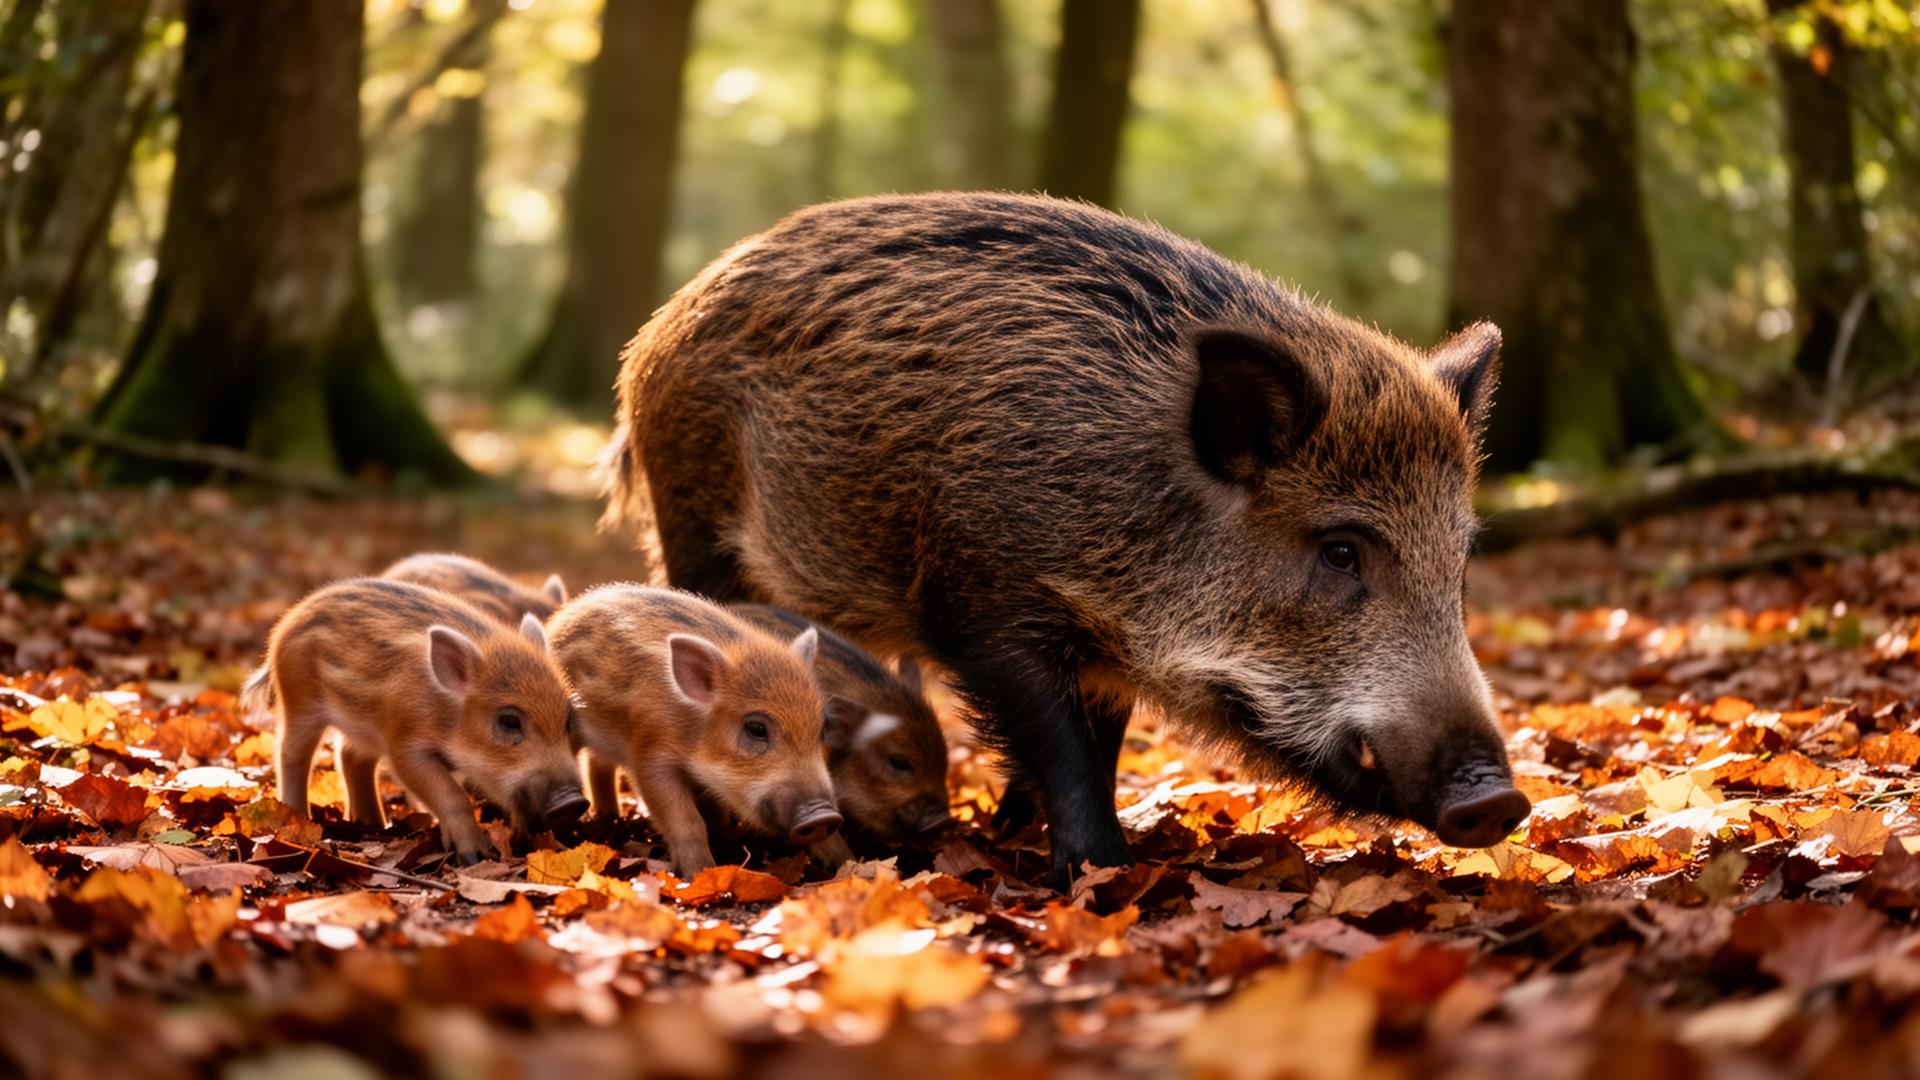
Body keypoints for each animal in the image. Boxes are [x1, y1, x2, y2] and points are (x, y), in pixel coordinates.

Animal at [242, 579, 587, 864]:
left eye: (569, 719)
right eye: (509, 721)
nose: (574, 802)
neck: (447, 715)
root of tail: (291, 617)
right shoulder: (405, 741)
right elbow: (450, 794)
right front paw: (474, 857)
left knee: (351, 756)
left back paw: (374, 824)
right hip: (299, 700)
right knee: (291, 754)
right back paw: (297, 815)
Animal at [544, 584, 847, 875]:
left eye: (822, 729)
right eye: (756, 728)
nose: (825, 816)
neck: (693, 732)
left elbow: (715, 817)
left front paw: (844, 861)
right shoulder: (651, 751)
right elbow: (686, 820)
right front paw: (698, 872)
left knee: (598, 765)